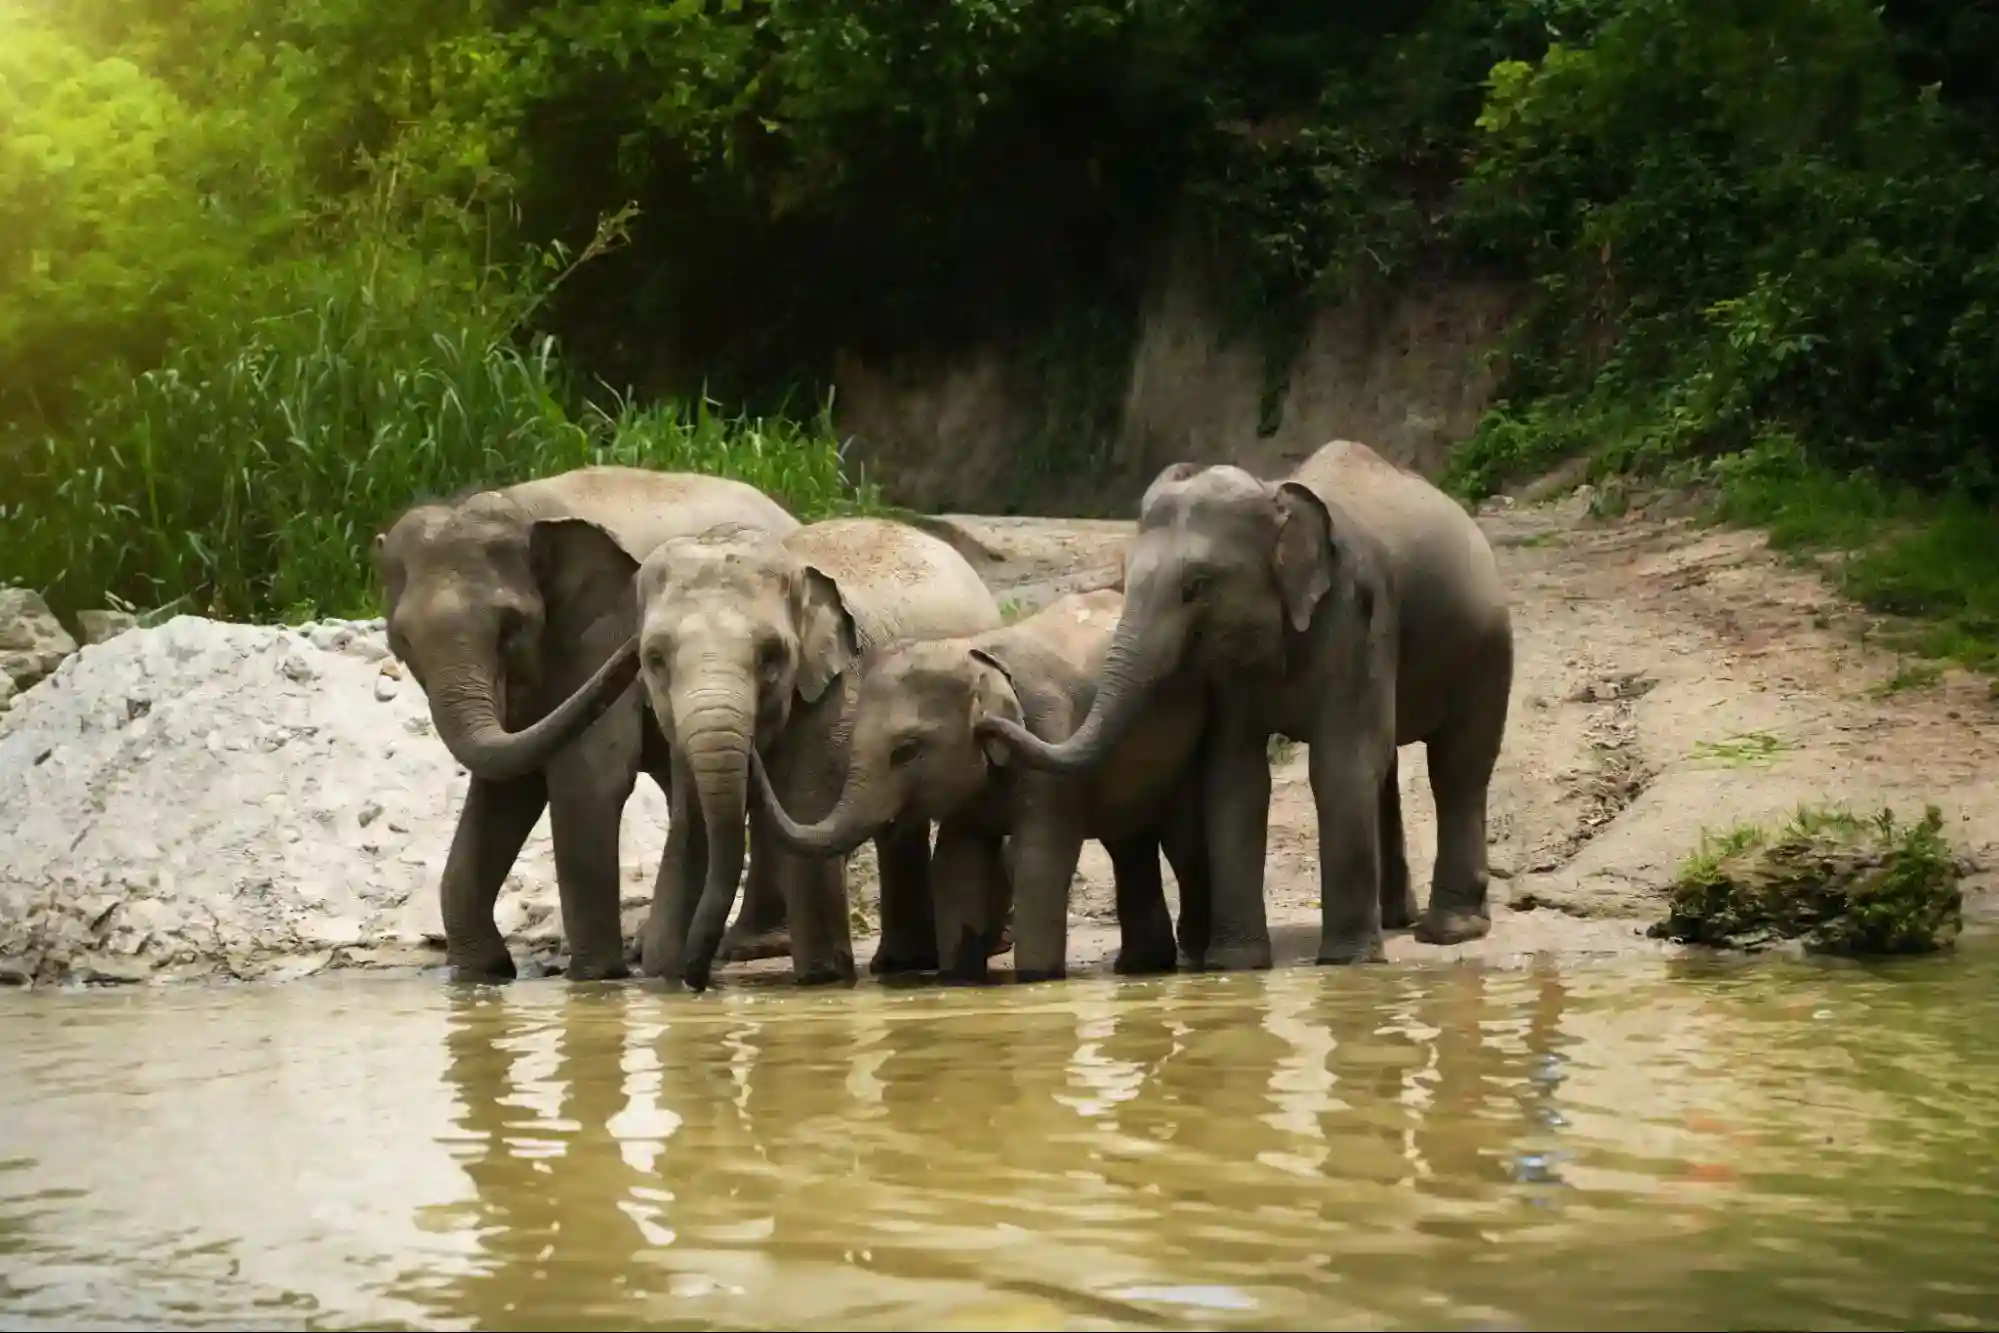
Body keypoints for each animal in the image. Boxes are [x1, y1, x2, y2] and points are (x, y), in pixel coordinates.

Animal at [372, 466, 802, 982]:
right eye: (402, 640)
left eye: (511, 627)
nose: (637, 648)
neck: (519, 507)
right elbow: (508, 786)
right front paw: (484, 974)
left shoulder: (598, 626)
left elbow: (587, 778)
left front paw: (595, 980)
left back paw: (746, 947)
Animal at [492, 516, 1006, 991]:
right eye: (654, 660)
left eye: (772, 656)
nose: (699, 981)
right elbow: (691, 824)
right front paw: (663, 976)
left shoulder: (835, 693)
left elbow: (806, 808)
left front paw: (822, 978)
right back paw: (900, 963)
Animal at [748, 588, 1212, 984]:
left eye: (906, 751)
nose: (753, 748)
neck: (976, 657)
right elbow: (958, 863)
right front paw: (959, 978)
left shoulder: (1049, 735)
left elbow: (1038, 856)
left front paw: (1036, 978)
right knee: (1129, 842)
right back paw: (1140, 966)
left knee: (1176, 838)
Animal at [978, 439, 1514, 969]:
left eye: (1196, 586)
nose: (986, 724)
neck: (1273, 493)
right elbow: (1236, 775)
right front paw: (1236, 964)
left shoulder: (1358, 613)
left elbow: (1341, 763)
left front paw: (1346, 963)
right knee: (1390, 771)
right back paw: (1398, 921)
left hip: (1486, 644)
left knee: (1457, 767)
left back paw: (1450, 931)